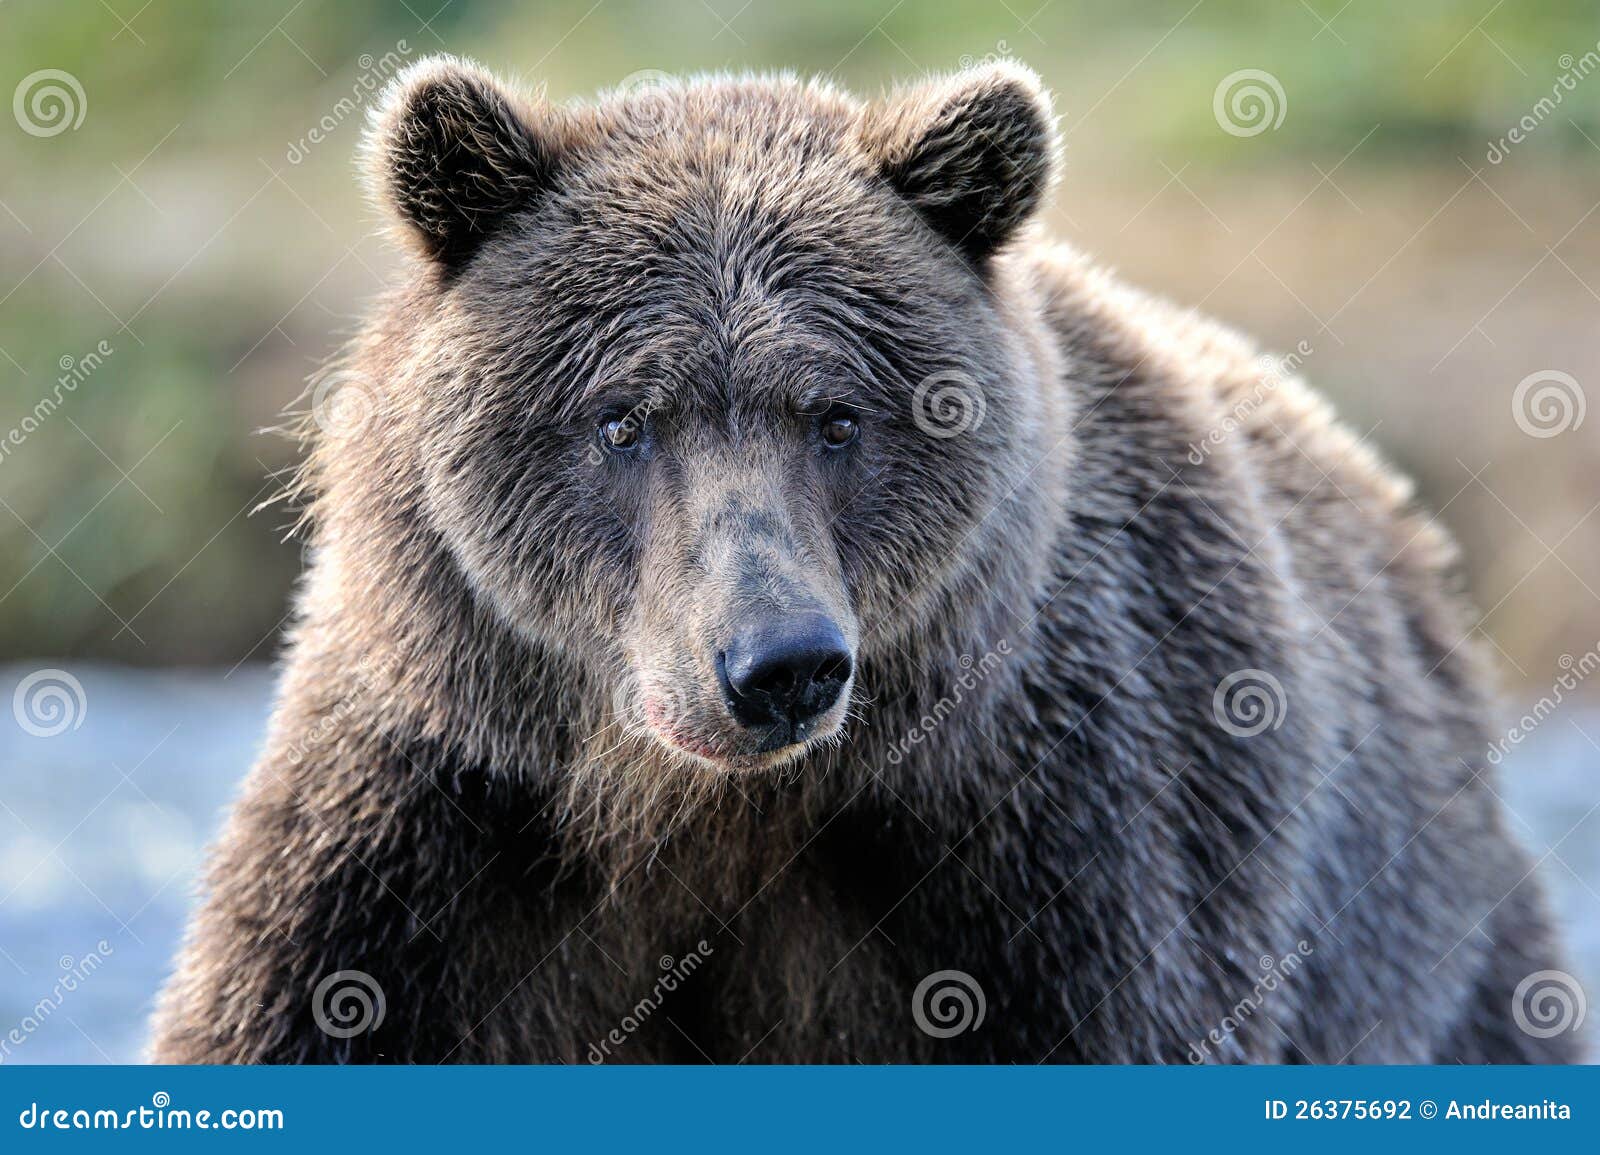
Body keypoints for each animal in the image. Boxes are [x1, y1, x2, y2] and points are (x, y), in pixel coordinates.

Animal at [149, 56, 1578, 1064]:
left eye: (838, 416)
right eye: (623, 417)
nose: (778, 663)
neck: (689, 811)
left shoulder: (1052, 861)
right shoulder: (435, 843)